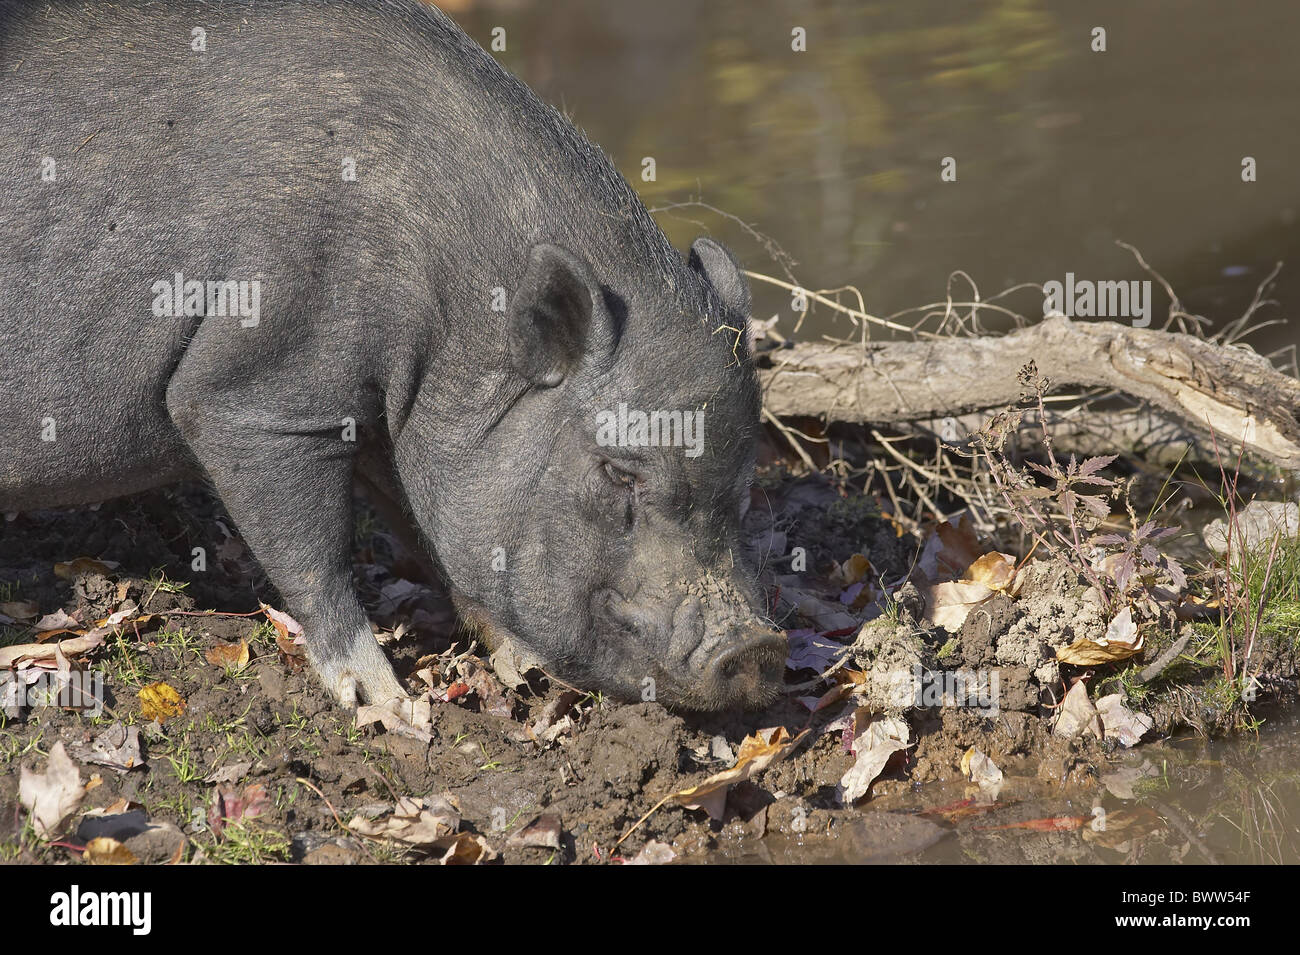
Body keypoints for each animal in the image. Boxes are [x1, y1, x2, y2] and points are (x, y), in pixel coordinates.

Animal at [0, 0, 787, 715]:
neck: (449, 312)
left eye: (744, 480)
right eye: (620, 471)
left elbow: (423, 530)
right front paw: (392, 708)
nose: (759, 645)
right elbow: (313, 547)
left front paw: (519, 664)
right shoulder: (257, 389)